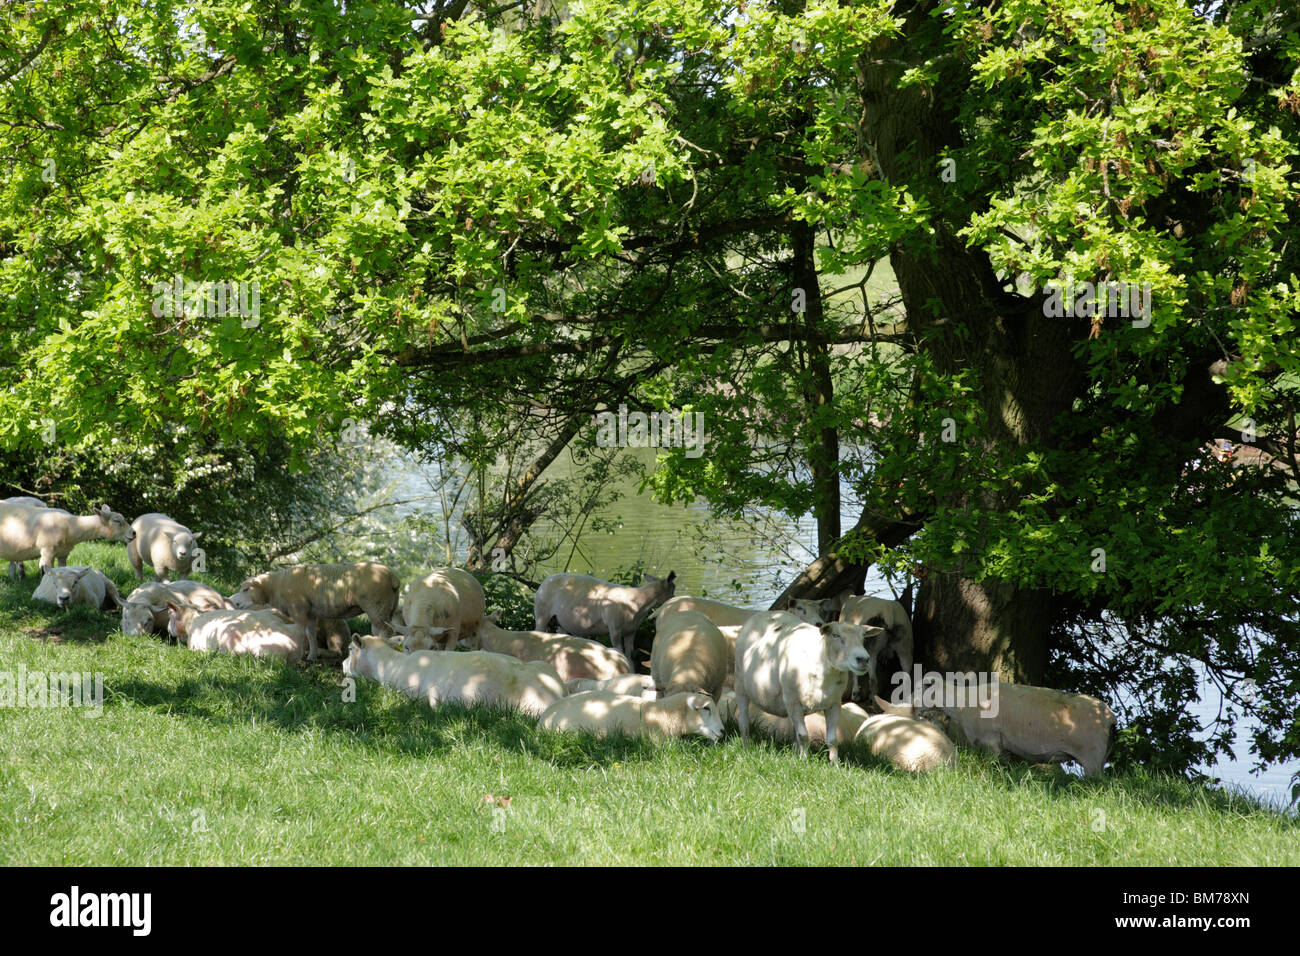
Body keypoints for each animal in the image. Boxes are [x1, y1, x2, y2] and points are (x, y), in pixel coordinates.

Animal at [0, 502, 135, 577]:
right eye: (117, 520)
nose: (134, 532)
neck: (71, 526)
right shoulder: (47, 550)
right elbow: (45, 573)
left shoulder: (63, 553)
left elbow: (62, 569)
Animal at [227, 562, 400, 662]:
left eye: (246, 589)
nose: (234, 602)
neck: (276, 586)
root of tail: (392, 576)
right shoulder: (310, 614)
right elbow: (310, 635)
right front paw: (312, 656)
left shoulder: (299, 610)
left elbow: (301, 633)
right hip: (389, 608)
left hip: (376, 607)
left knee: (383, 632)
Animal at [534, 571, 676, 662]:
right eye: (673, 588)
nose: (675, 598)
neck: (638, 601)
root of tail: (546, 580)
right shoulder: (615, 629)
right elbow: (620, 652)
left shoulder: (631, 631)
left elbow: (630, 655)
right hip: (541, 614)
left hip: (561, 623)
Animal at [733, 610, 878, 763]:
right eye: (836, 635)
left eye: (863, 638)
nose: (863, 659)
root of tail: (766, 613)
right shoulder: (793, 701)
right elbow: (803, 736)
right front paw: (804, 761)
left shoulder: (834, 704)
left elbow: (832, 739)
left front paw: (834, 763)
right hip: (740, 685)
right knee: (743, 722)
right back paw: (747, 749)